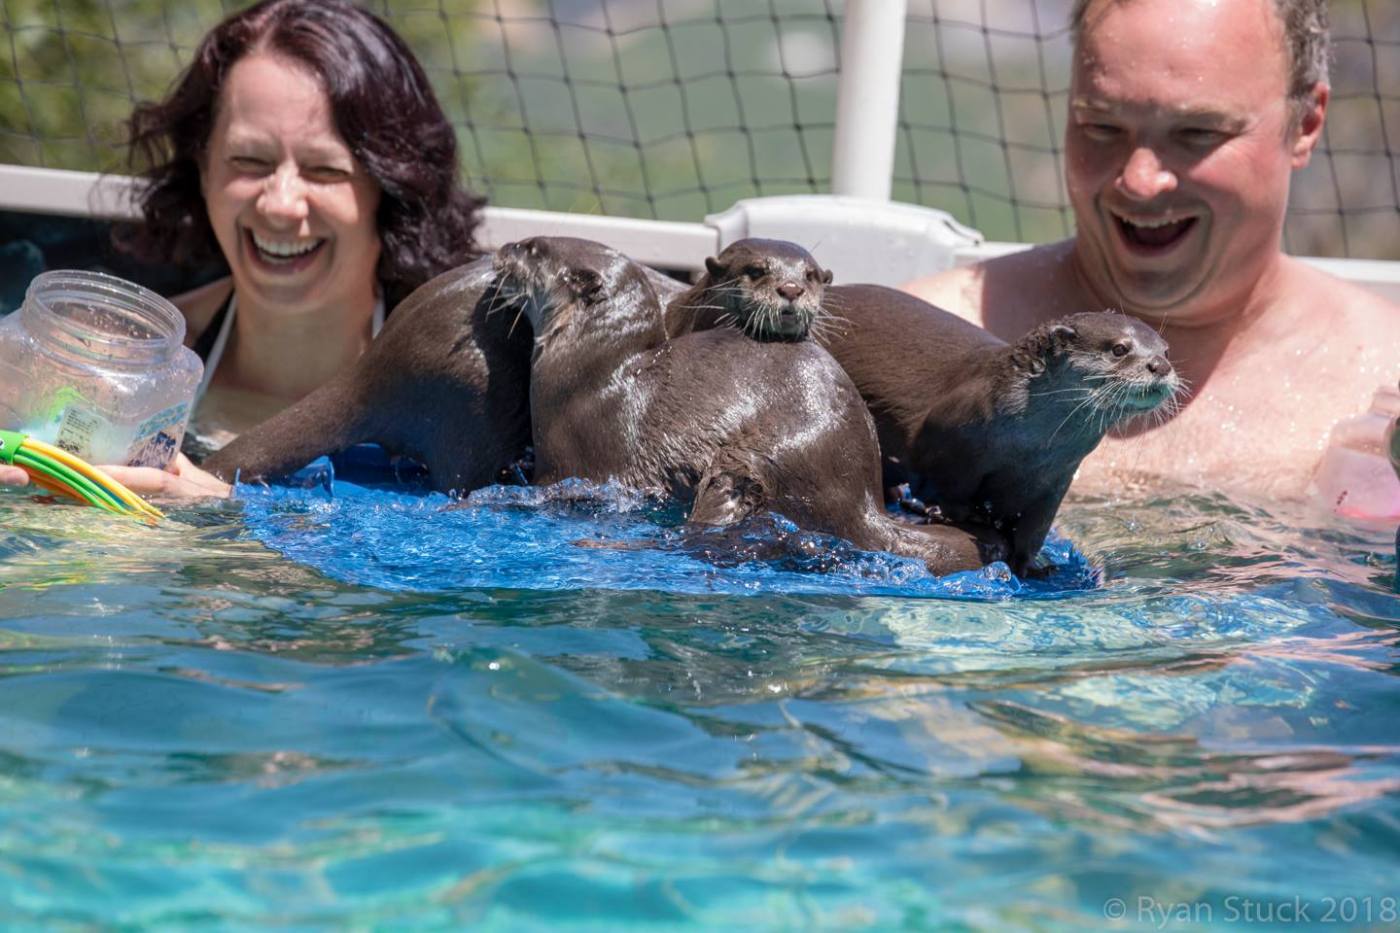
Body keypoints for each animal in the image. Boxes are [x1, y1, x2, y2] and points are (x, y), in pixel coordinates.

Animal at [495, 236, 1004, 576]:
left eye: (532, 249)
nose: (501, 248)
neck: (591, 364)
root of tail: (862, 500)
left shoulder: (573, 456)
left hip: (760, 461)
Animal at [819, 284, 1181, 575]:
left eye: (1165, 350)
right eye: (1119, 348)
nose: (1161, 366)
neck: (1030, 447)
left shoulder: (1056, 481)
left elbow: (1033, 533)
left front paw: (1031, 567)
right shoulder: (947, 440)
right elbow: (944, 488)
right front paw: (944, 513)